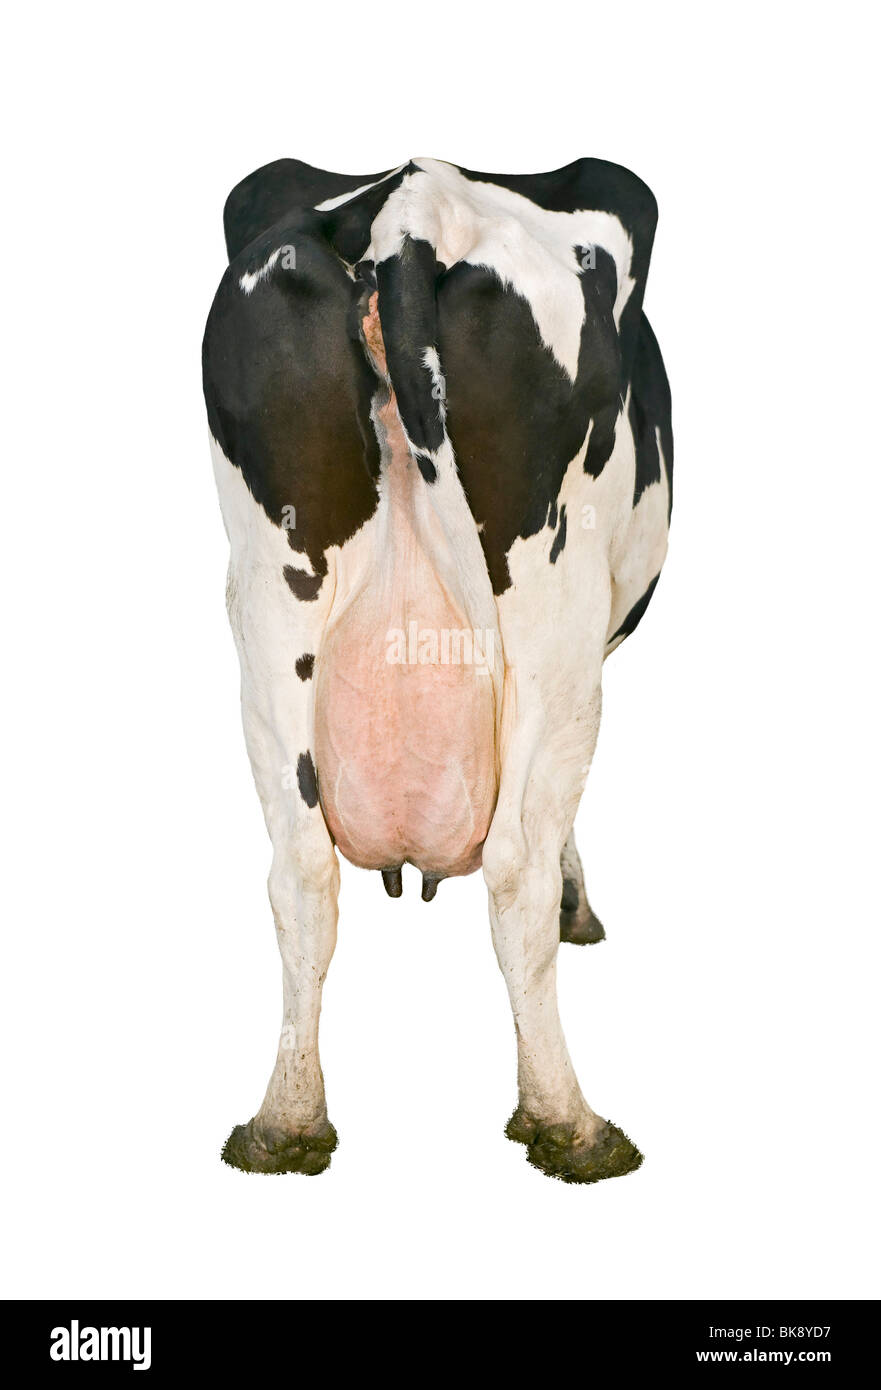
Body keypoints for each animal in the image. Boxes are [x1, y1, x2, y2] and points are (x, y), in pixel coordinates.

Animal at [202, 157, 672, 1184]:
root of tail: (412, 209)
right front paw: (580, 905)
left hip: (266, 611)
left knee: (299, 870)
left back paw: (284, 1122)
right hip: (550, 619)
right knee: (515, 866)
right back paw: (569, 1121)